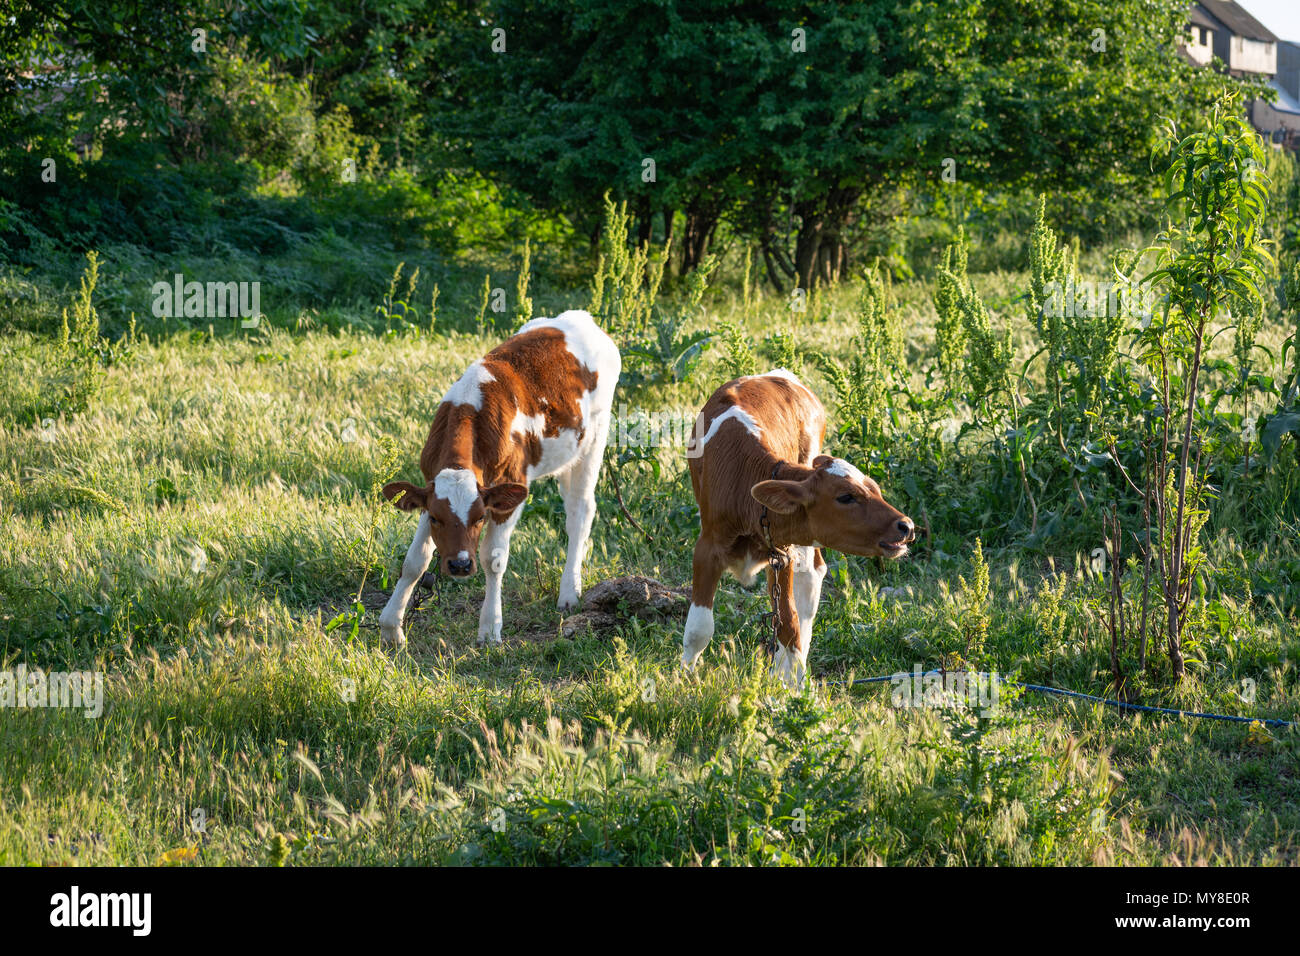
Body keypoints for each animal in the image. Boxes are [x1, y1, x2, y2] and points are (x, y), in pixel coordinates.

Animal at [378, 309, 620, 647]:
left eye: (480, 517)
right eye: (438, 519)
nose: (460, 565)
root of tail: (582, 318)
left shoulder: (509, 494)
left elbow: (494, 560)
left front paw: (490, 629)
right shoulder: (428, 492)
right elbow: (415, 561)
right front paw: (391, 626)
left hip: (594, 440)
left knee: (580, 513)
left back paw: (569, 591)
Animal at [682, 369, 915, 686]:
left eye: (876, 490)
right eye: (846, 497)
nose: (906, 526)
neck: (745, 484)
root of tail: (777, 373)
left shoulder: (781, 552)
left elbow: (788, 620)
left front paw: (794, 682)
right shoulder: (708, 546)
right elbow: (699, 628)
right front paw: (684, 677)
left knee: (811, 576)